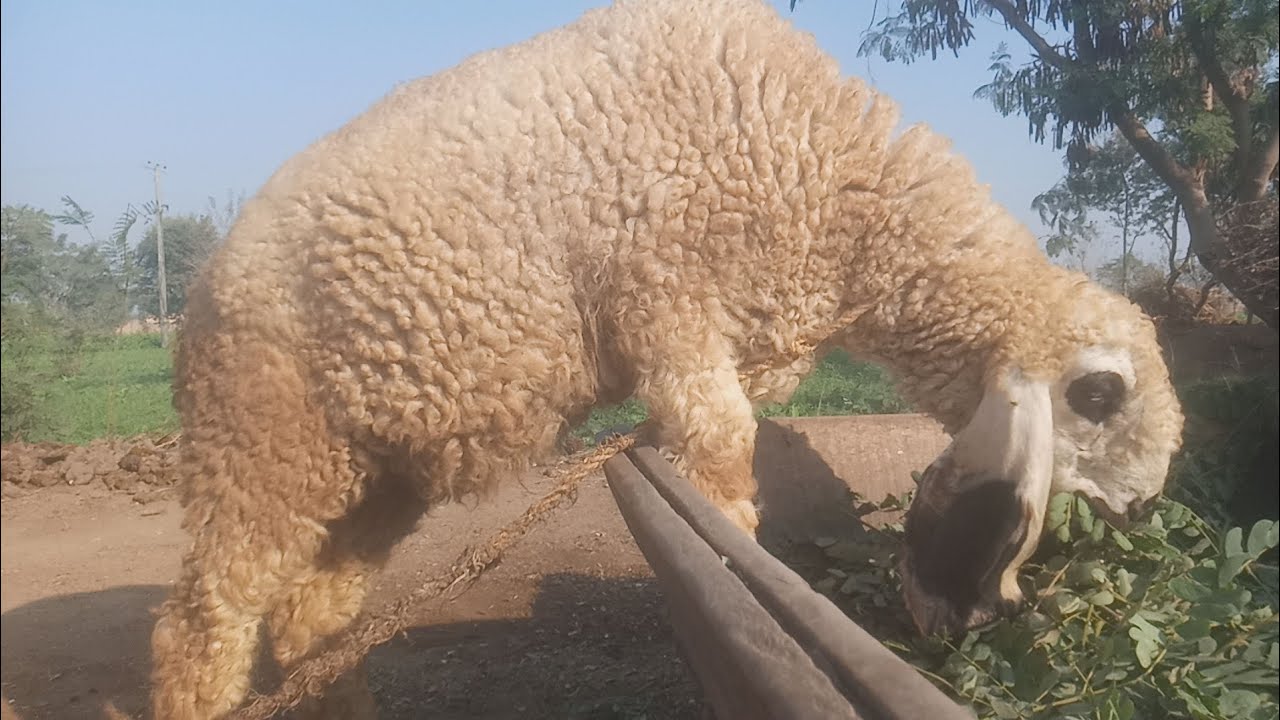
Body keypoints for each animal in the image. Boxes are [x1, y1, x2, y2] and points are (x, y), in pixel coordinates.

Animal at [149, 0, 1184, 716]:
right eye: (1100, 393)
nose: (1143, 507)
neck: (838, 184)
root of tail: (202, 288)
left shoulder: (727, 341)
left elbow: (705, 444)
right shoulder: (668, 296)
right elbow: (723, 459)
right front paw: (733, 562)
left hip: (377, 471)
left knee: (309, 619)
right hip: (264, 443)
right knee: (200, 629)